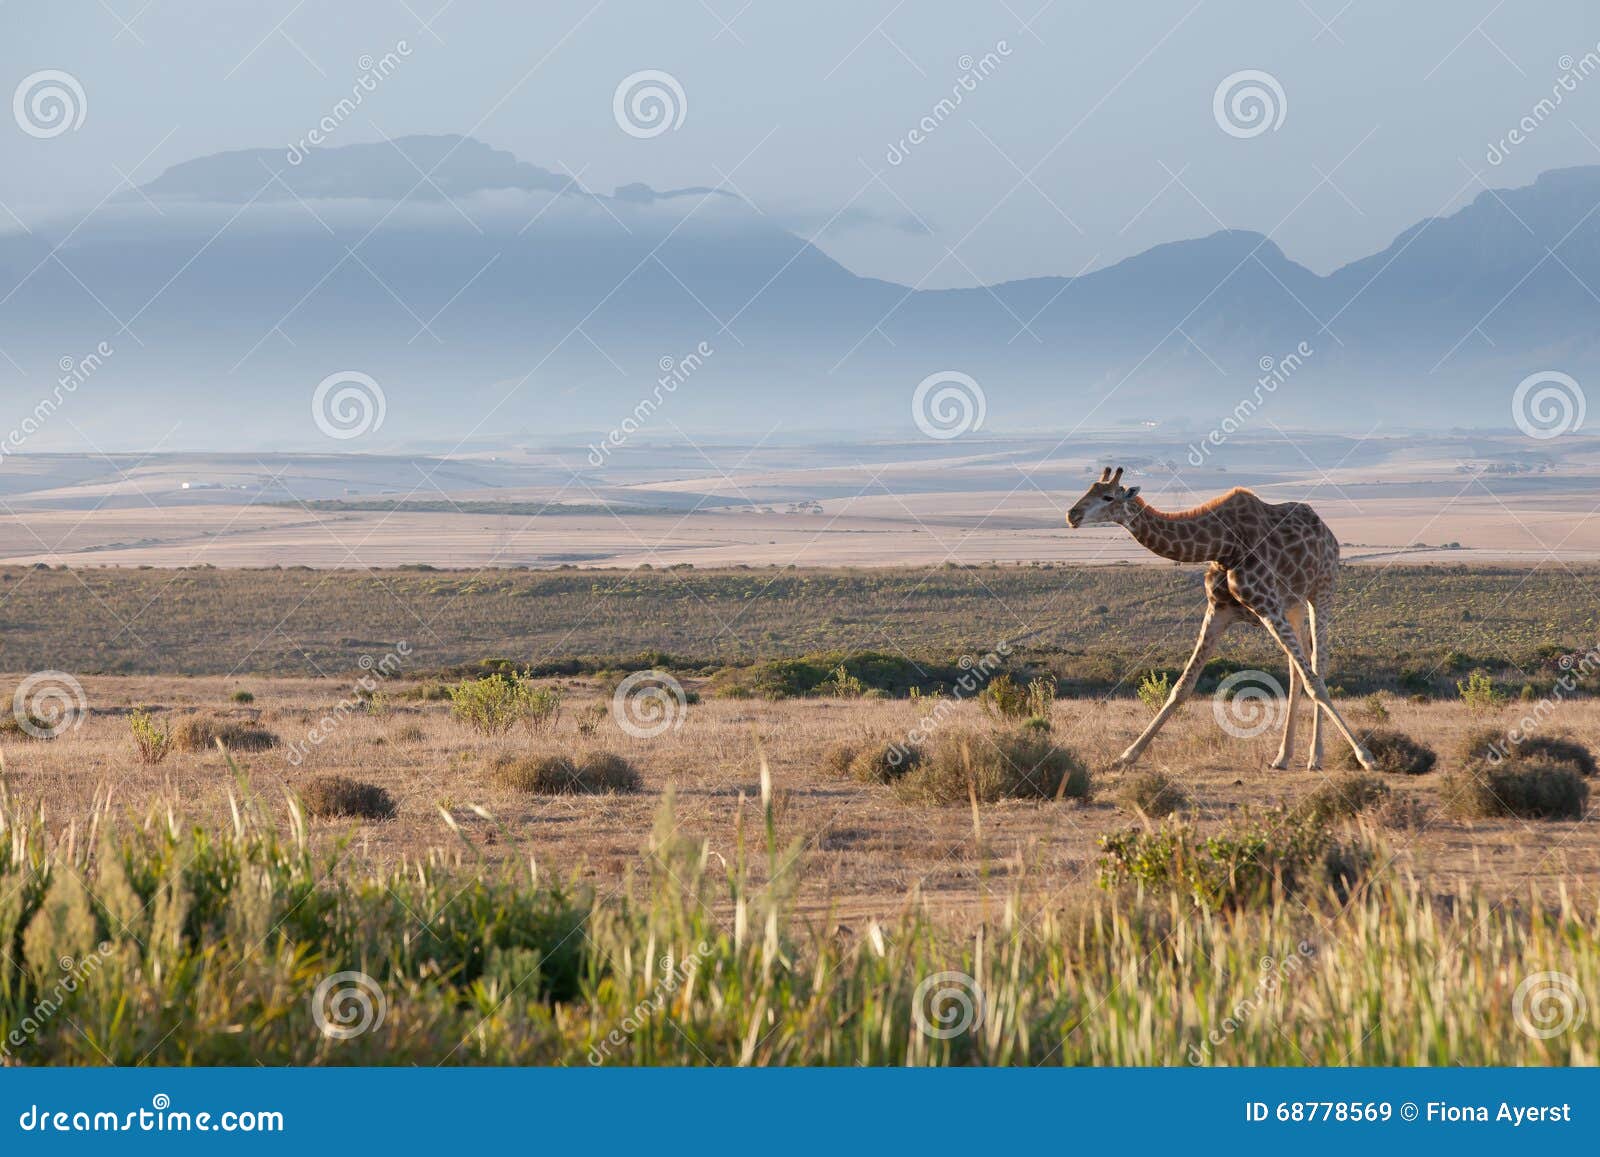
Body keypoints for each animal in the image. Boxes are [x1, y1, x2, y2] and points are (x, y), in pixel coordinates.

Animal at [1066, 467, 1375, 771]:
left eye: (1107, 497)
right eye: (1088, 489)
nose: (1072, 515)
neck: (1222, 544)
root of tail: (1327, 531)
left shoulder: (1267, 604)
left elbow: (1315, 683)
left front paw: (1366, 757)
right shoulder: (1219, 609)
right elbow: (1182, 686)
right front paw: (1127, 755)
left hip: (1322, 589)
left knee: (1317, 664)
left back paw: (1315, 757)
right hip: (1293, 604)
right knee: (1295, 668)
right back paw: (1283, 757)